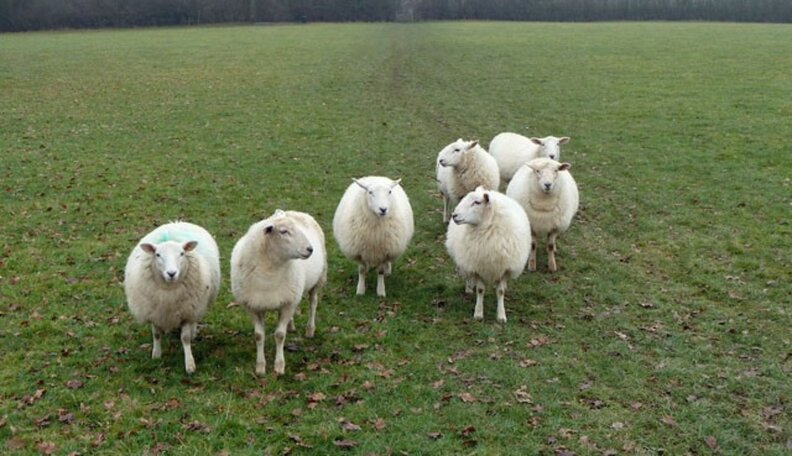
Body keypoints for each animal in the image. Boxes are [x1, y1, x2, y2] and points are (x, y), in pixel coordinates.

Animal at [124, 221, 221, 374]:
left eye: (182, 253)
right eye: (157, 254)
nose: (171, 273)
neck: (168, 291)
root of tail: (177, 222)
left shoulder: (187, 311)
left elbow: (185, 338)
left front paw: (189, 364)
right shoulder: (154, 312)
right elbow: (156, 335)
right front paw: (156, 355)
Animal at [230, 209, 327, 376]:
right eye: (283, 231)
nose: (310, 249)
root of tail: (296, 211)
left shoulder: (287, 304)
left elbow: (280, 335)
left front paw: (279, 366)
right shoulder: (253, 306)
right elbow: (259, 336)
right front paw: (260, 367)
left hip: (319, 278)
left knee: (313, 303)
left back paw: (310, 329)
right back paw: (291, 325)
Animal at [445, 186, 531, 324]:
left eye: (477, 202)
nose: (454, 215)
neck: (487, 228)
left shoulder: (505, 268)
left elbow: (500, 291)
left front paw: (501, 315)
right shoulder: (477, 266)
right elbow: (480, 290)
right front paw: (478, 313)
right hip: (466, 258)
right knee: (468, 276)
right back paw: (469, 288)